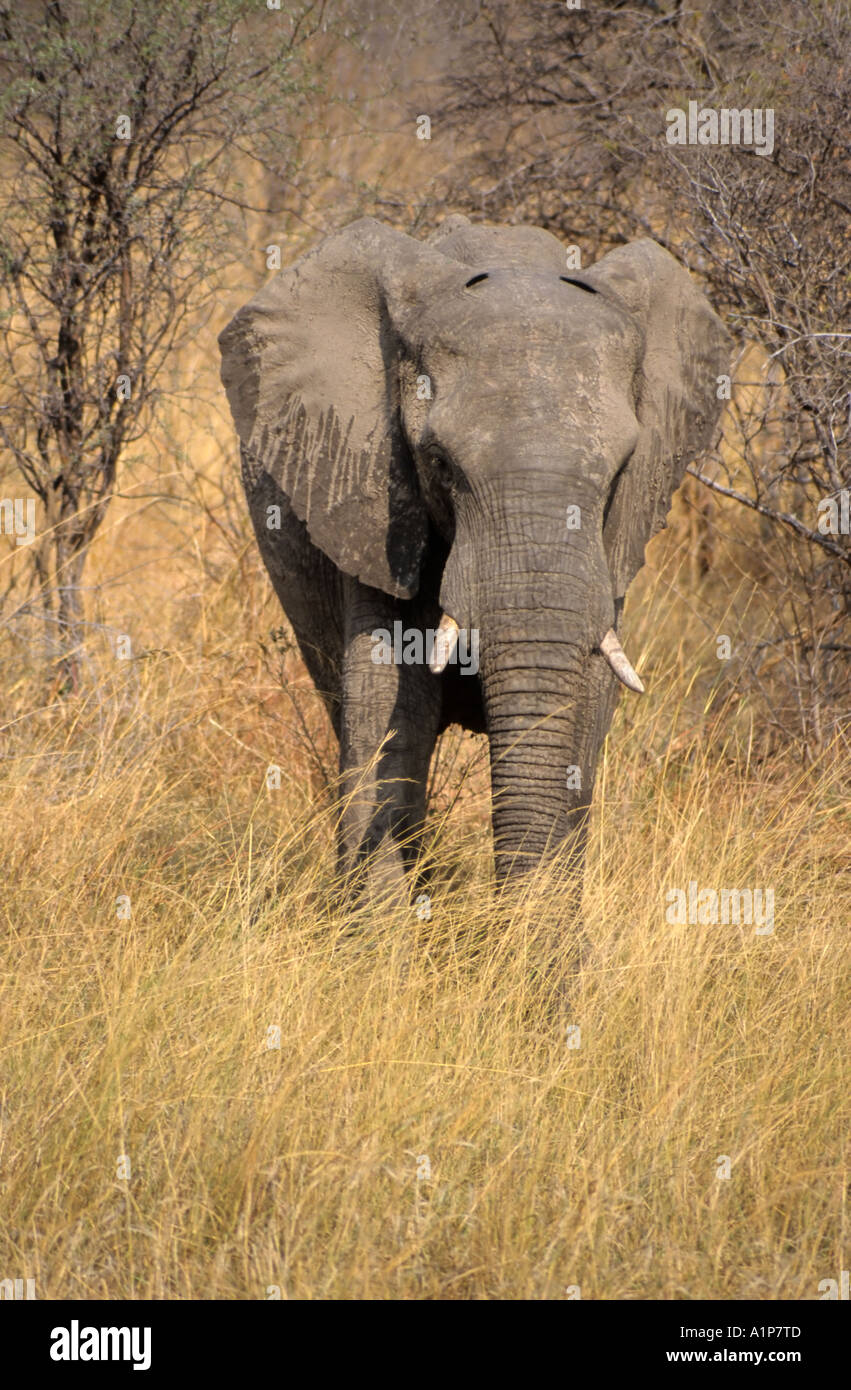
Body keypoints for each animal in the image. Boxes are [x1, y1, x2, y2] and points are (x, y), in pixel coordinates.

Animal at [219, 214, 729, 899]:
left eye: (622, 471)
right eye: (439, 464)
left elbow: (586, 709)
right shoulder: (372, 502)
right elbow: (388, 703)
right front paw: (381, 928)